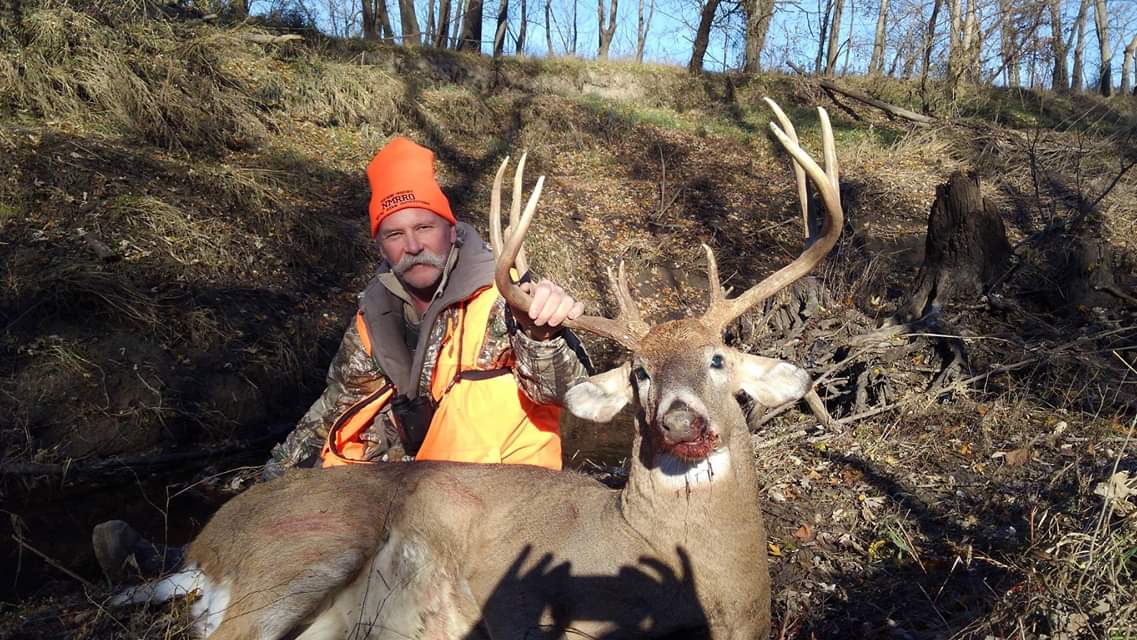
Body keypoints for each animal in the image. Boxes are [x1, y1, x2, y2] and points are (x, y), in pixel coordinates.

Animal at [111, 100, 843, 640]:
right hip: (303, 548)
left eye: (718, 359)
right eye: (638, 373)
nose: (681, 421)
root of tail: (204, 549)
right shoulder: (528, 589)